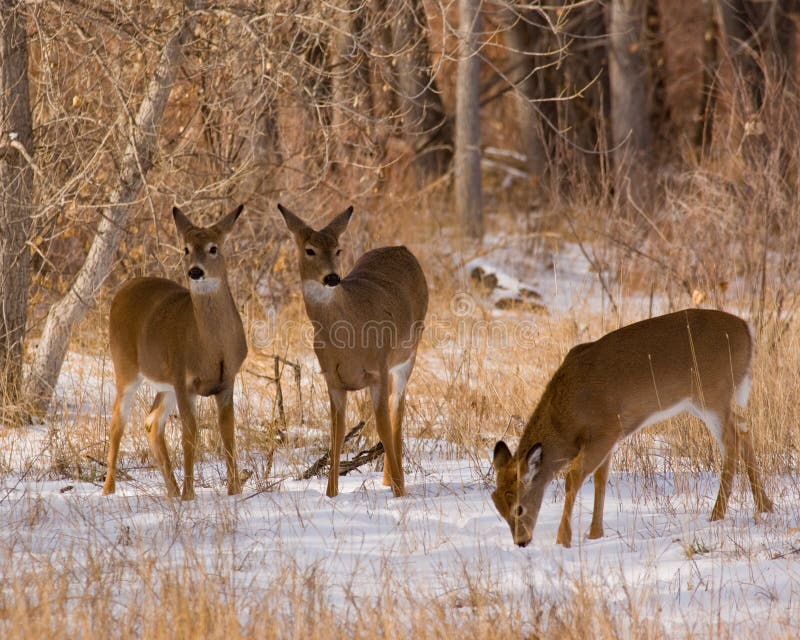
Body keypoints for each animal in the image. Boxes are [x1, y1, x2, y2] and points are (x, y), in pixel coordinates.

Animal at [102, 204, 247, 500]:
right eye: (186, 248)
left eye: (214, 248)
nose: (195, 271)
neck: (212, 348)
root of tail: (124, 288)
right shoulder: (184, 381)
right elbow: (189, 434)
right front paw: (190, 495)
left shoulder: (227, 381)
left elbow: (228, 433)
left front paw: (234, 490)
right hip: (126, 367)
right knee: (117, 421)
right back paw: (109, 489)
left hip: (165, 383)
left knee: (151, 421)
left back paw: (171, 489)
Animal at [277, 203, 428, 498]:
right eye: (309, 249)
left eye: (338, 249)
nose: (332, 277)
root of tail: (402, 248)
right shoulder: (333, 380)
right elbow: (337, 435)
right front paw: (331, 493)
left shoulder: (377, 369)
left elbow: (381, 426)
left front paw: (400, 494)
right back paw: (388, 479)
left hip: (408, 354)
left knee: (397, 409)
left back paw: (395, 480)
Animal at [491, 308, 774, 548]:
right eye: (498, 507)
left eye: (518, 507)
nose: (521, 542)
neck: (567, 417)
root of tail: (747, 329)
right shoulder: (606, 438)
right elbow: (600, 478)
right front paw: (595, 534)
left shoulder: (606, 430)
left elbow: (574, 477)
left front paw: (564, 540)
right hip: (706, 401)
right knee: (744, 427)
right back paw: (764, 506)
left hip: (712, 394)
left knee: (731, 440)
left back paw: (717, 514)